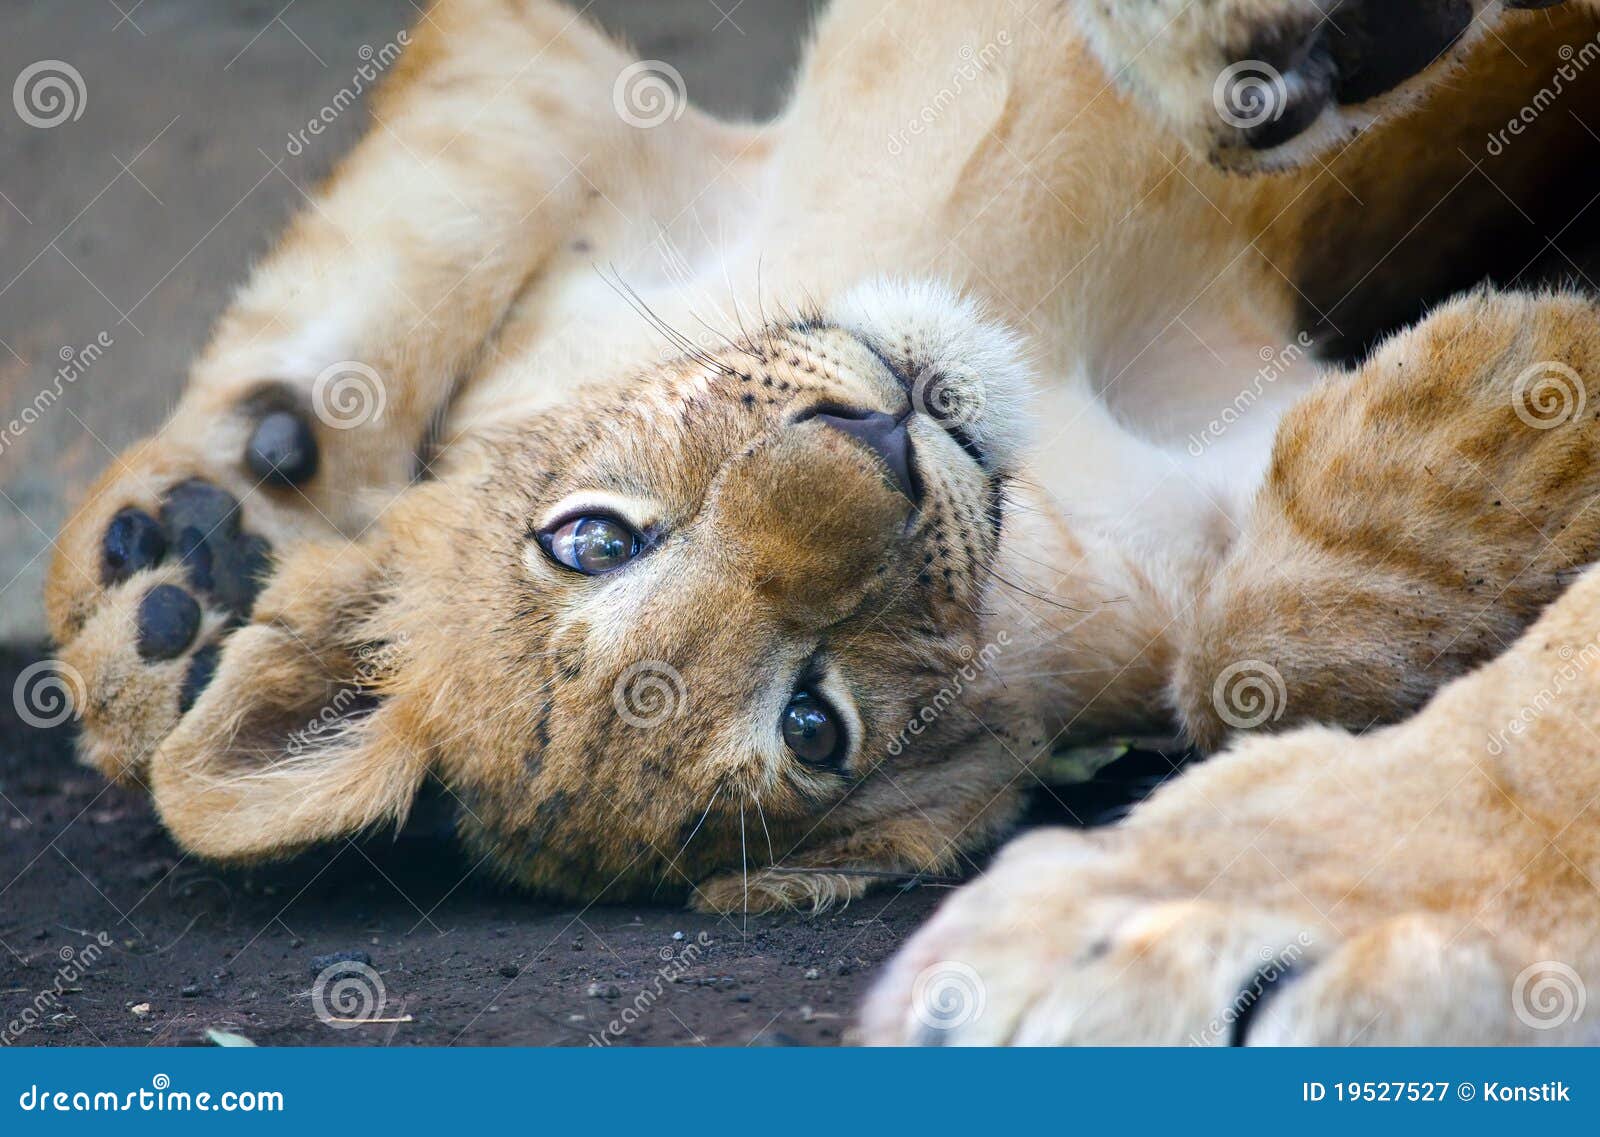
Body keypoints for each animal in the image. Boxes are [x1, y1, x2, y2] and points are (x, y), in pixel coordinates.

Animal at [39, 0, 1600, 1042]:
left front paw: (170, 572)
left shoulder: (559, 80)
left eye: (591, 537)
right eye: (812, 721)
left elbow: (394, 248)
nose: (882, 446)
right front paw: (1520, 390)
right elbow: (1248, 649)